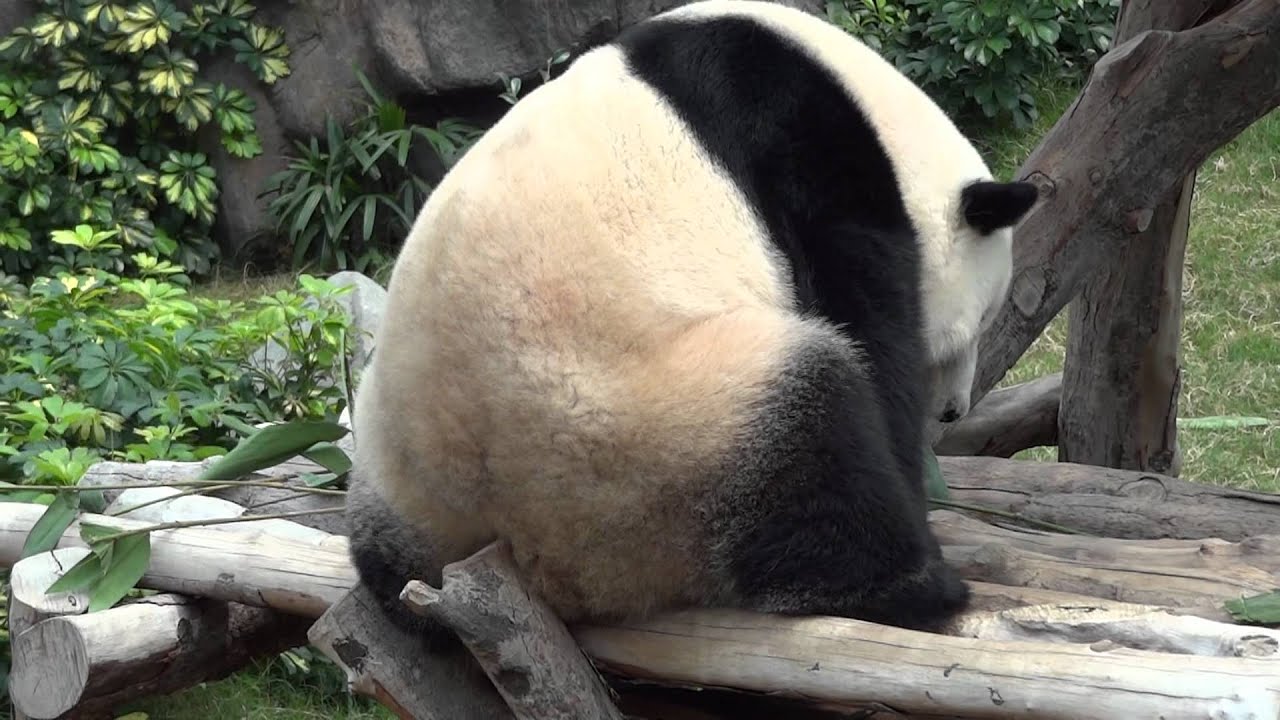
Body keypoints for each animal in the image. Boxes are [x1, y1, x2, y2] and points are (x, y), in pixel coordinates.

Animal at [344, 0, 1038, 648]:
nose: (952, 410)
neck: (877, 114)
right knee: (812, 437)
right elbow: (865, 319)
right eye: (974, 326)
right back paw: (915, 585)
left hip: (395, 481)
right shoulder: (801, 148)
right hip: (645, 435)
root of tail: (532, 555)